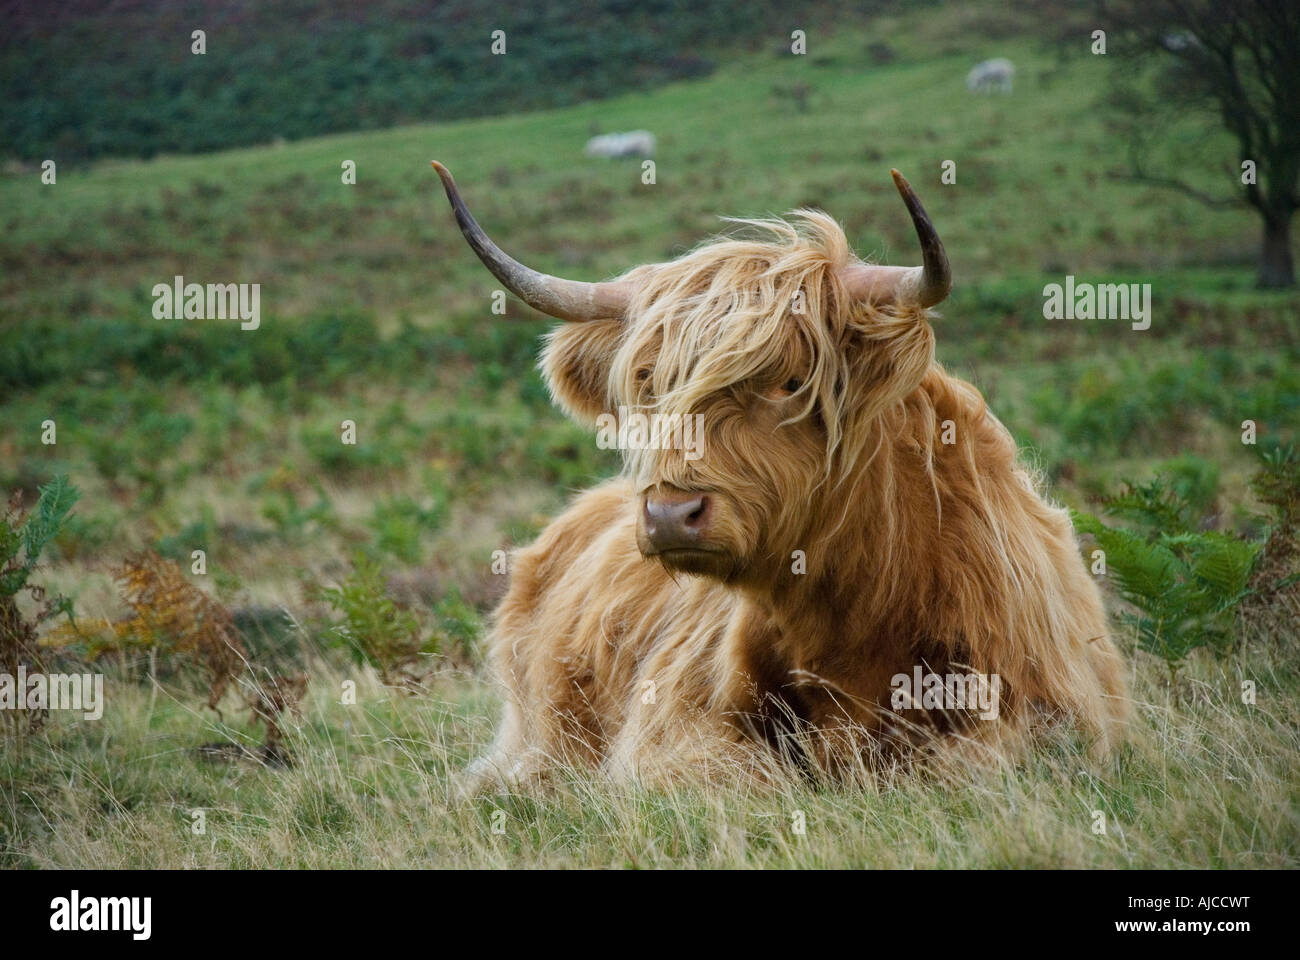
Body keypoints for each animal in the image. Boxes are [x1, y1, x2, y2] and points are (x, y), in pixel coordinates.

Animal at [429, 161, 1128, 790]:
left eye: (791, 382)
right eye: (650, 385)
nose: (670, 513)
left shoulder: (1065, 715)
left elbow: (962, 766)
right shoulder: (670, 736)